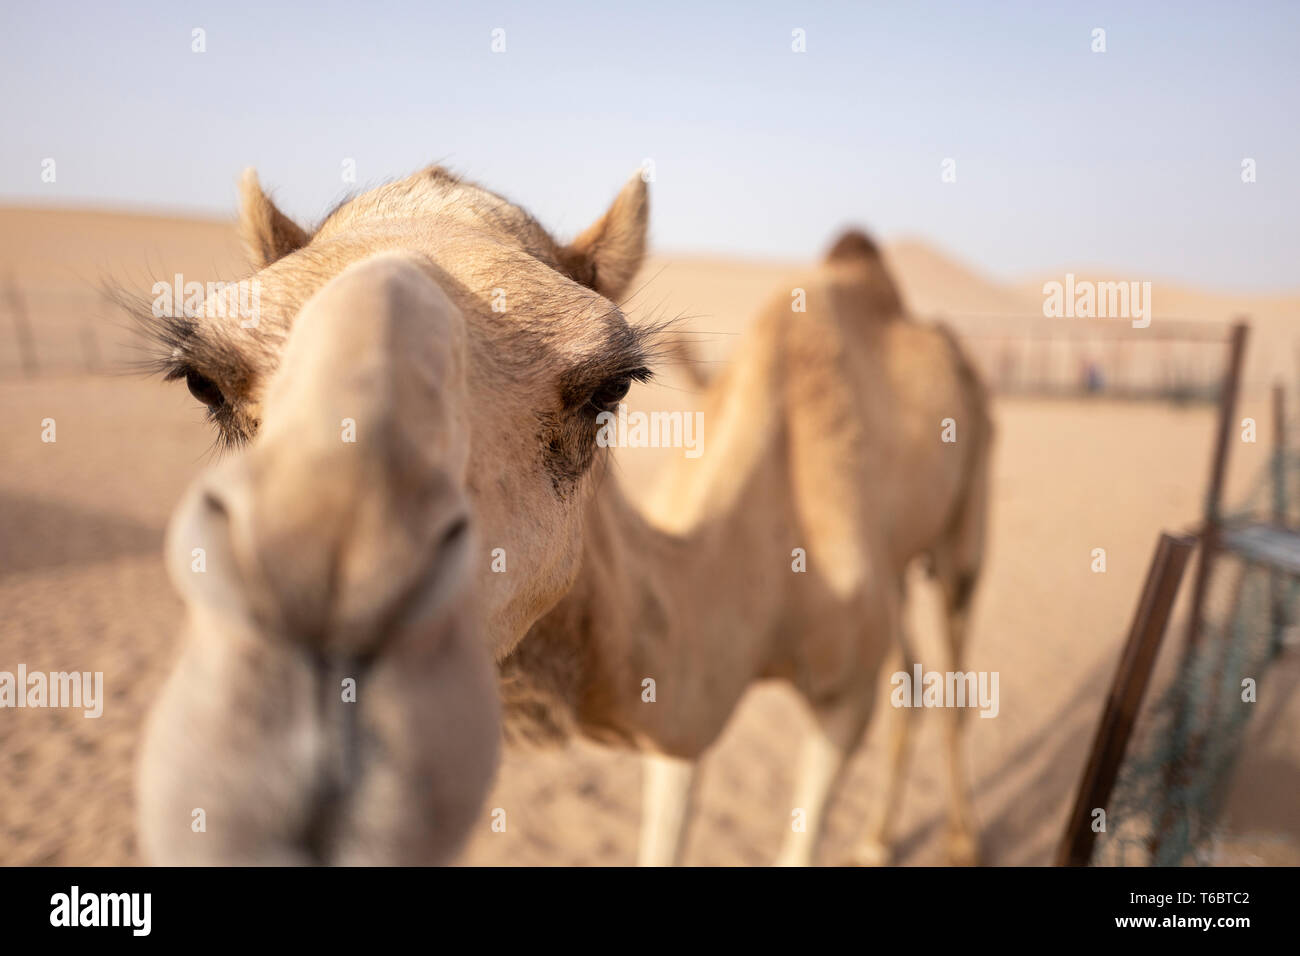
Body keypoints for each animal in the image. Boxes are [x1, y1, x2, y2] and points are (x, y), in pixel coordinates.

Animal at [135, 164, 990, 866]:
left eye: (609, 386)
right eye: (205, 383)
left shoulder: (842, 695)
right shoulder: (680, 726)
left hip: (962, 532)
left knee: (948, 668)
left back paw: (954, 840)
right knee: (915, 676)